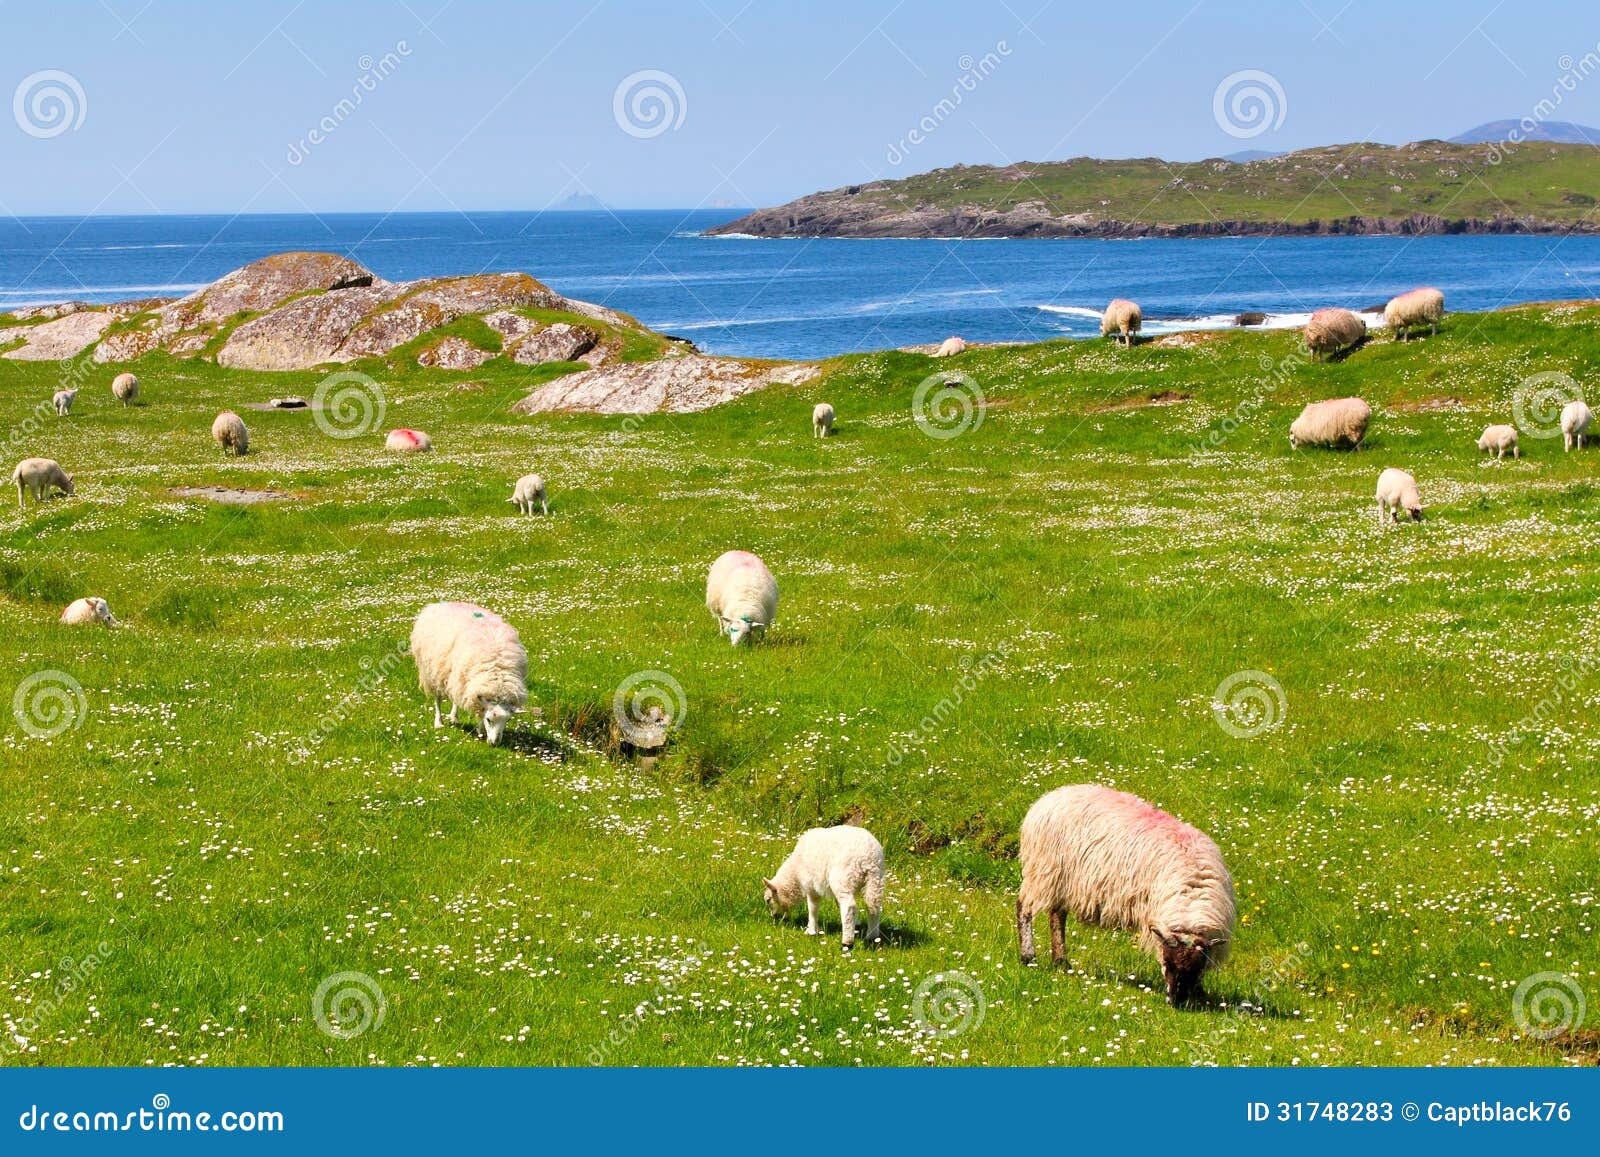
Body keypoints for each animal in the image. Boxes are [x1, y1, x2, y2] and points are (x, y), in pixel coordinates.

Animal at [408, 601, 528, 745]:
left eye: (507, 720)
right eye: (489, 719)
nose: (495, 744)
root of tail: (440, 603)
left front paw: (480, 731)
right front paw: (481, 731)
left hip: (457, 676)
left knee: (455, 696)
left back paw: (454, 717)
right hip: (433, 669)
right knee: (438, 698)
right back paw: (439, 722)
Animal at [1016, 783, 1235, 1006]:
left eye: (1196, 969)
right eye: (1167, 962)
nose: (1175, 1002)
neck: (1190, 902)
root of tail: (1050, 797)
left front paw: (1200, 994)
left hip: (1062, 882)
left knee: (1057, 916)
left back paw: (1061, 962)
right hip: (1043, 871)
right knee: (1024, 907)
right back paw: (1028, 956)